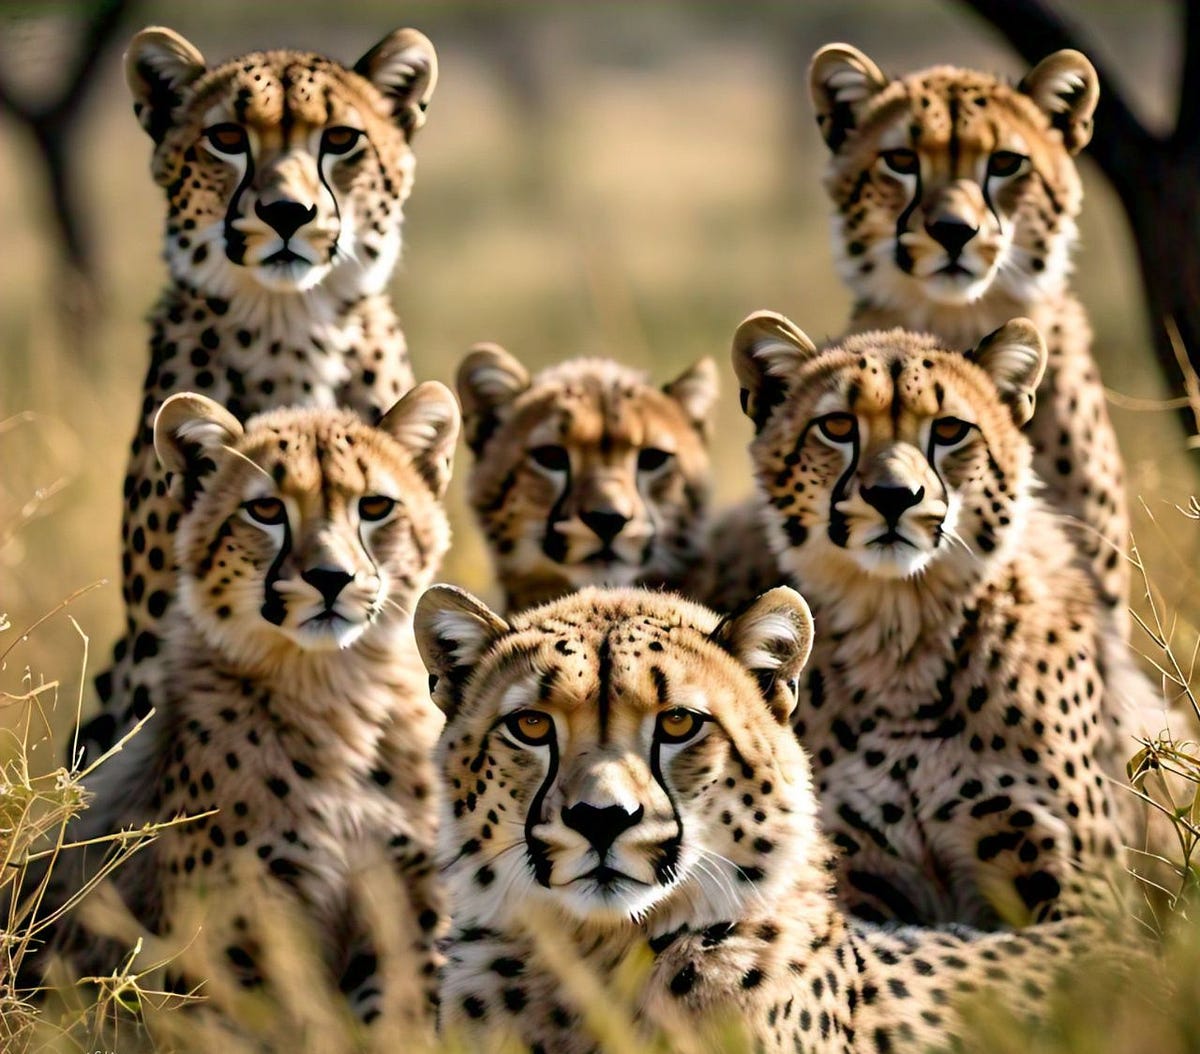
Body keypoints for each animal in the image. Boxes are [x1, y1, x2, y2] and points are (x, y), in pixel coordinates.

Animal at [51, 384, 460, 1037]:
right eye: (266, 510)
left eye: (375, 506)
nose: (330, 577)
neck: (335, 690)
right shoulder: (245, 927)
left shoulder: (405, 903)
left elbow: (399, 1022)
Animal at [728, 310, 1155, 928]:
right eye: (837, 425)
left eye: (951, 430)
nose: (893, 496)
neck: (901, 637)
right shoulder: (865, 882)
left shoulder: (1077, 891)